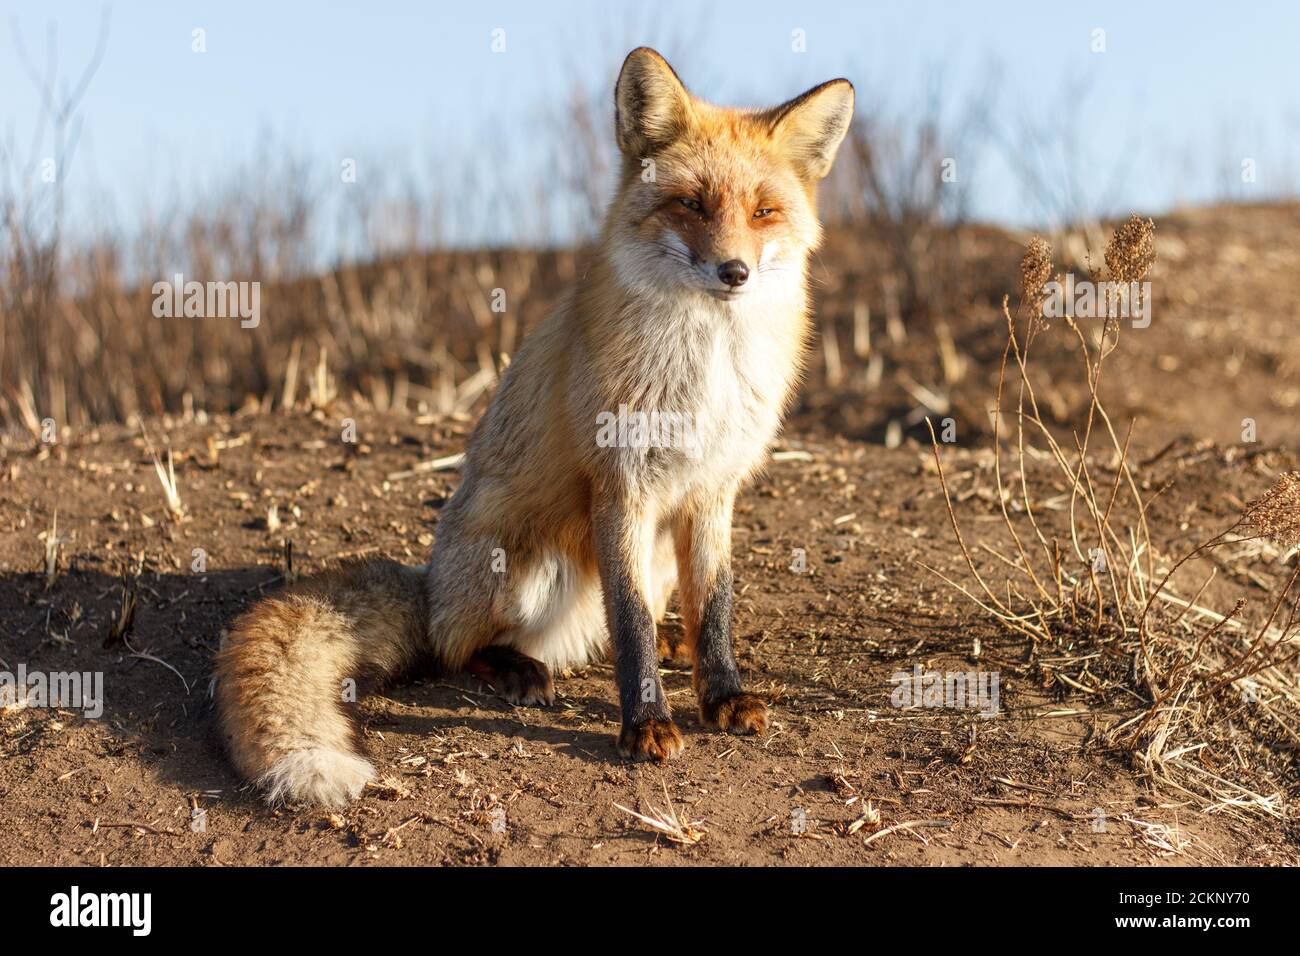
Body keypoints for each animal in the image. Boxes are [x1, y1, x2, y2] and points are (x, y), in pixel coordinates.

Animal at [214, 47, 855, 807]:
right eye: (691, 204)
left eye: (763, 212)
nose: (734, 271)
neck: (705, 369)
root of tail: (429, 586)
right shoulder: (620, 486)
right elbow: (629, 620)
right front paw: (645, 724)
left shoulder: (713, 491)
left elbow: (715, 604)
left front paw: (721, 694)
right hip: (522, 560)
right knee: (461, 648)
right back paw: (517, 666)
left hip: (654, 552)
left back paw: (669, 644)